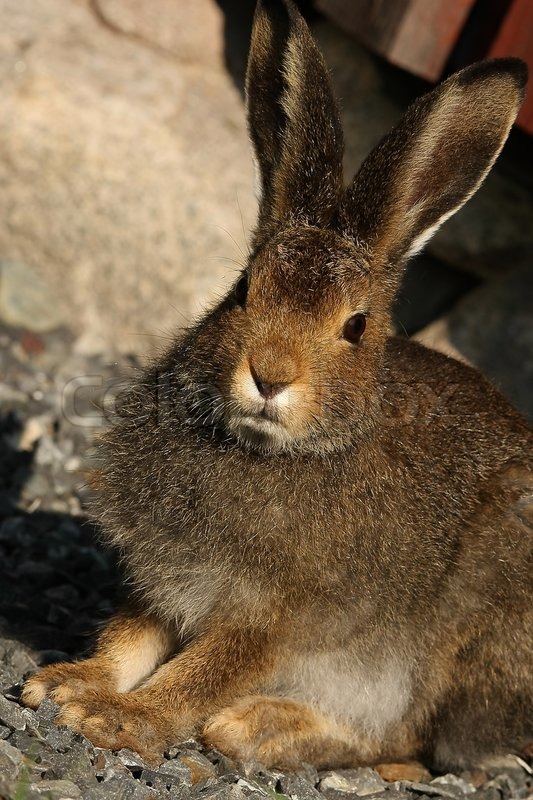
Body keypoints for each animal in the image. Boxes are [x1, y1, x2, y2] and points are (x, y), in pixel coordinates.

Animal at [22, 0, 532, 773]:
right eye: (242, 290)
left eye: (355, 326)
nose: (269, 375)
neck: (274, 451)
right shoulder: (164, 583)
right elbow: (130, 639)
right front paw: (65, 684)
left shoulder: (278, 620)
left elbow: (206, 671)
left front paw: (120, 718)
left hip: (476, 611)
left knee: (413, 738)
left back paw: (262, 728)